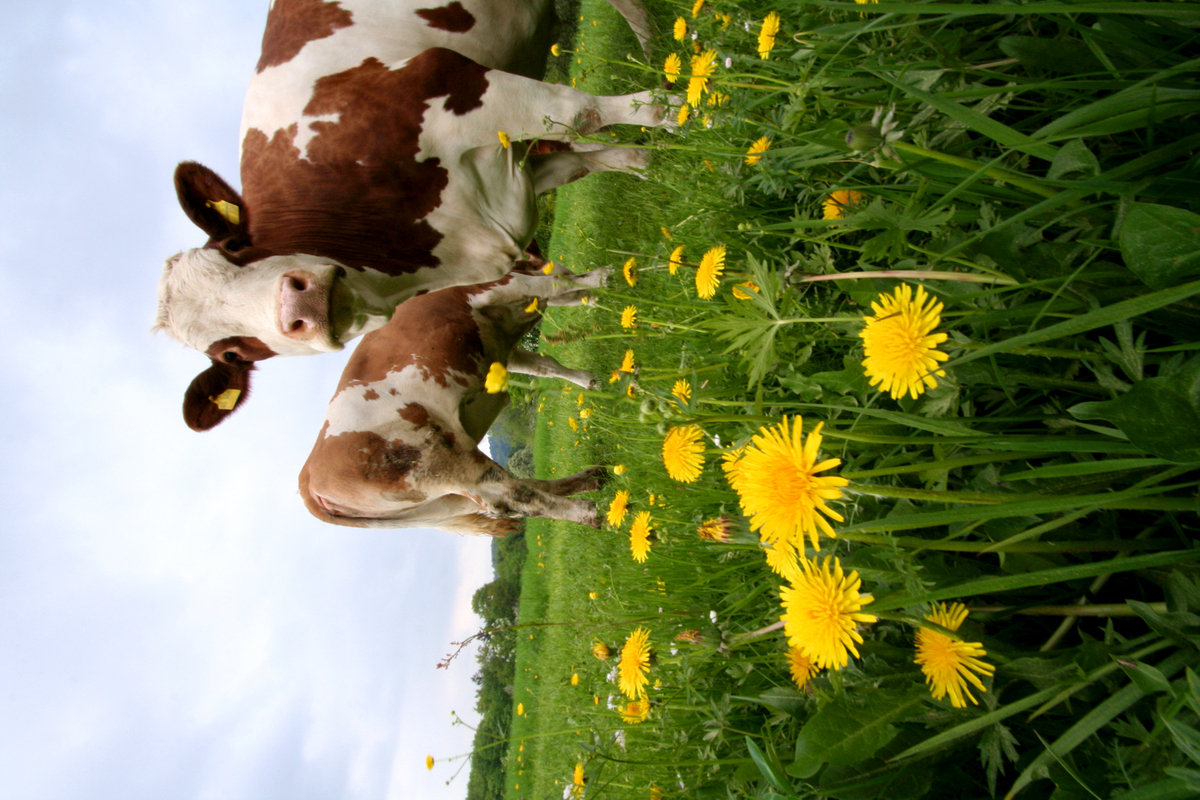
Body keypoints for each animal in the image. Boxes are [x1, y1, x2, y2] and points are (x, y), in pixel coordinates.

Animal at [154, 0, 671, 431]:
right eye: (233, 353)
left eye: (234, 247)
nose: (298, 307)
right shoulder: (505, 193)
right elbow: (589, 165)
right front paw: (654, 163)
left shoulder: (446, 79)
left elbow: (584, 113)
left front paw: (676, 111)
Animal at [296, 266, 606, 535]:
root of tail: (307, 478)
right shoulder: (503, 286)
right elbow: (559, 283)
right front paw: (605, 278)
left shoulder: (499, 347)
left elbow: (547, 365)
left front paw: (591, 380)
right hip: (442, 462)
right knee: (514, 495)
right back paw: (589, 511)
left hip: (441, 503)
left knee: (514, 490)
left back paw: (591, 479)